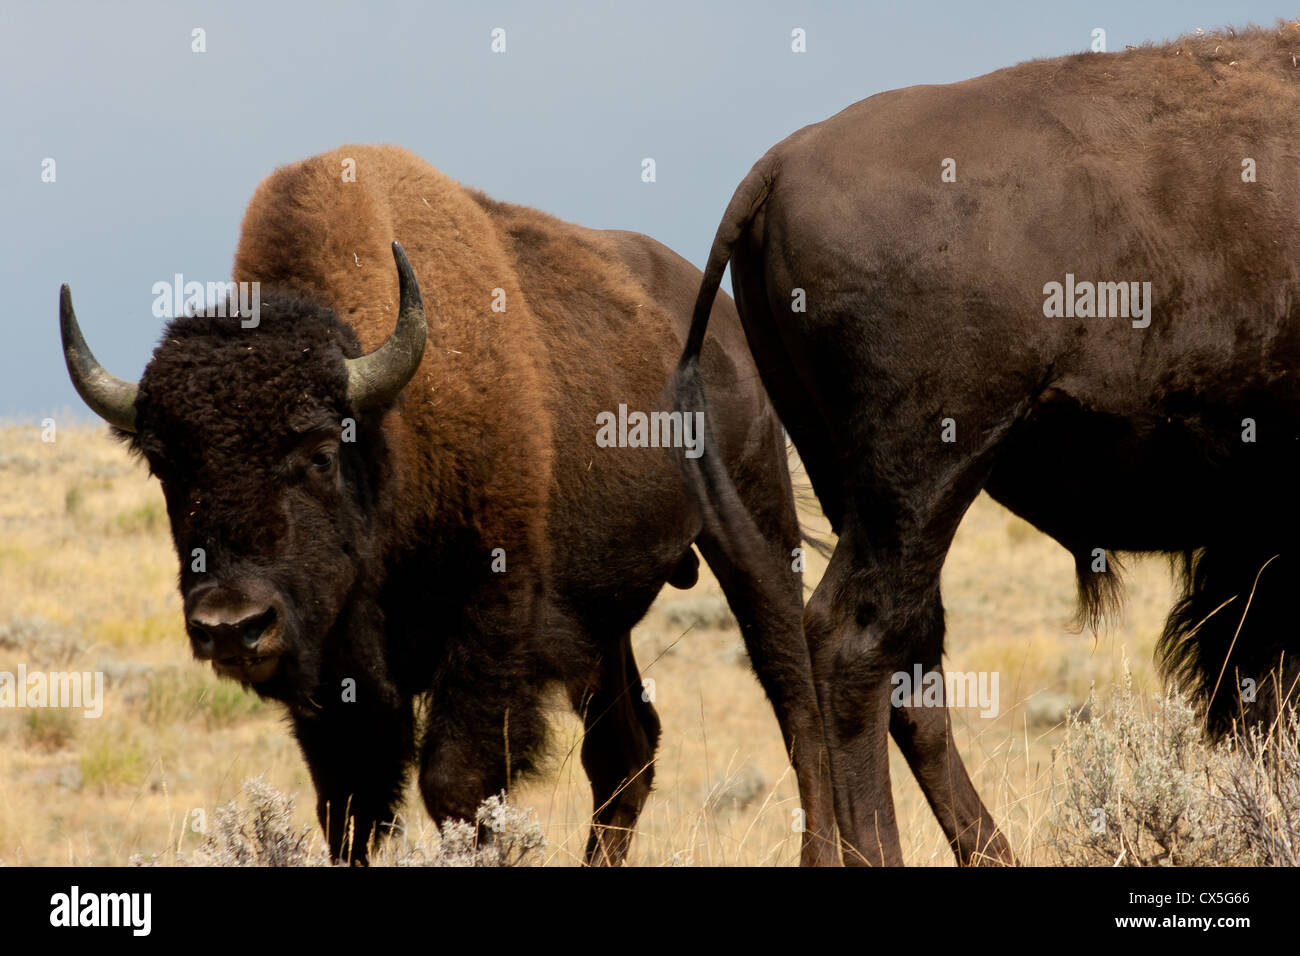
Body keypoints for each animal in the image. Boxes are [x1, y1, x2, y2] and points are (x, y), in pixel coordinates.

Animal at [60, 145, 835, 865]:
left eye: (319, 454)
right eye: (164, 466)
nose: (231, 625)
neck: (388, 432)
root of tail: (721, 322)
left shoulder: (490, 620)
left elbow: (456, 785)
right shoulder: (337, 674)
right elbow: (353, 804)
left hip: (755, 532)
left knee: (795, 698)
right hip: (603, 622)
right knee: (625, 753)